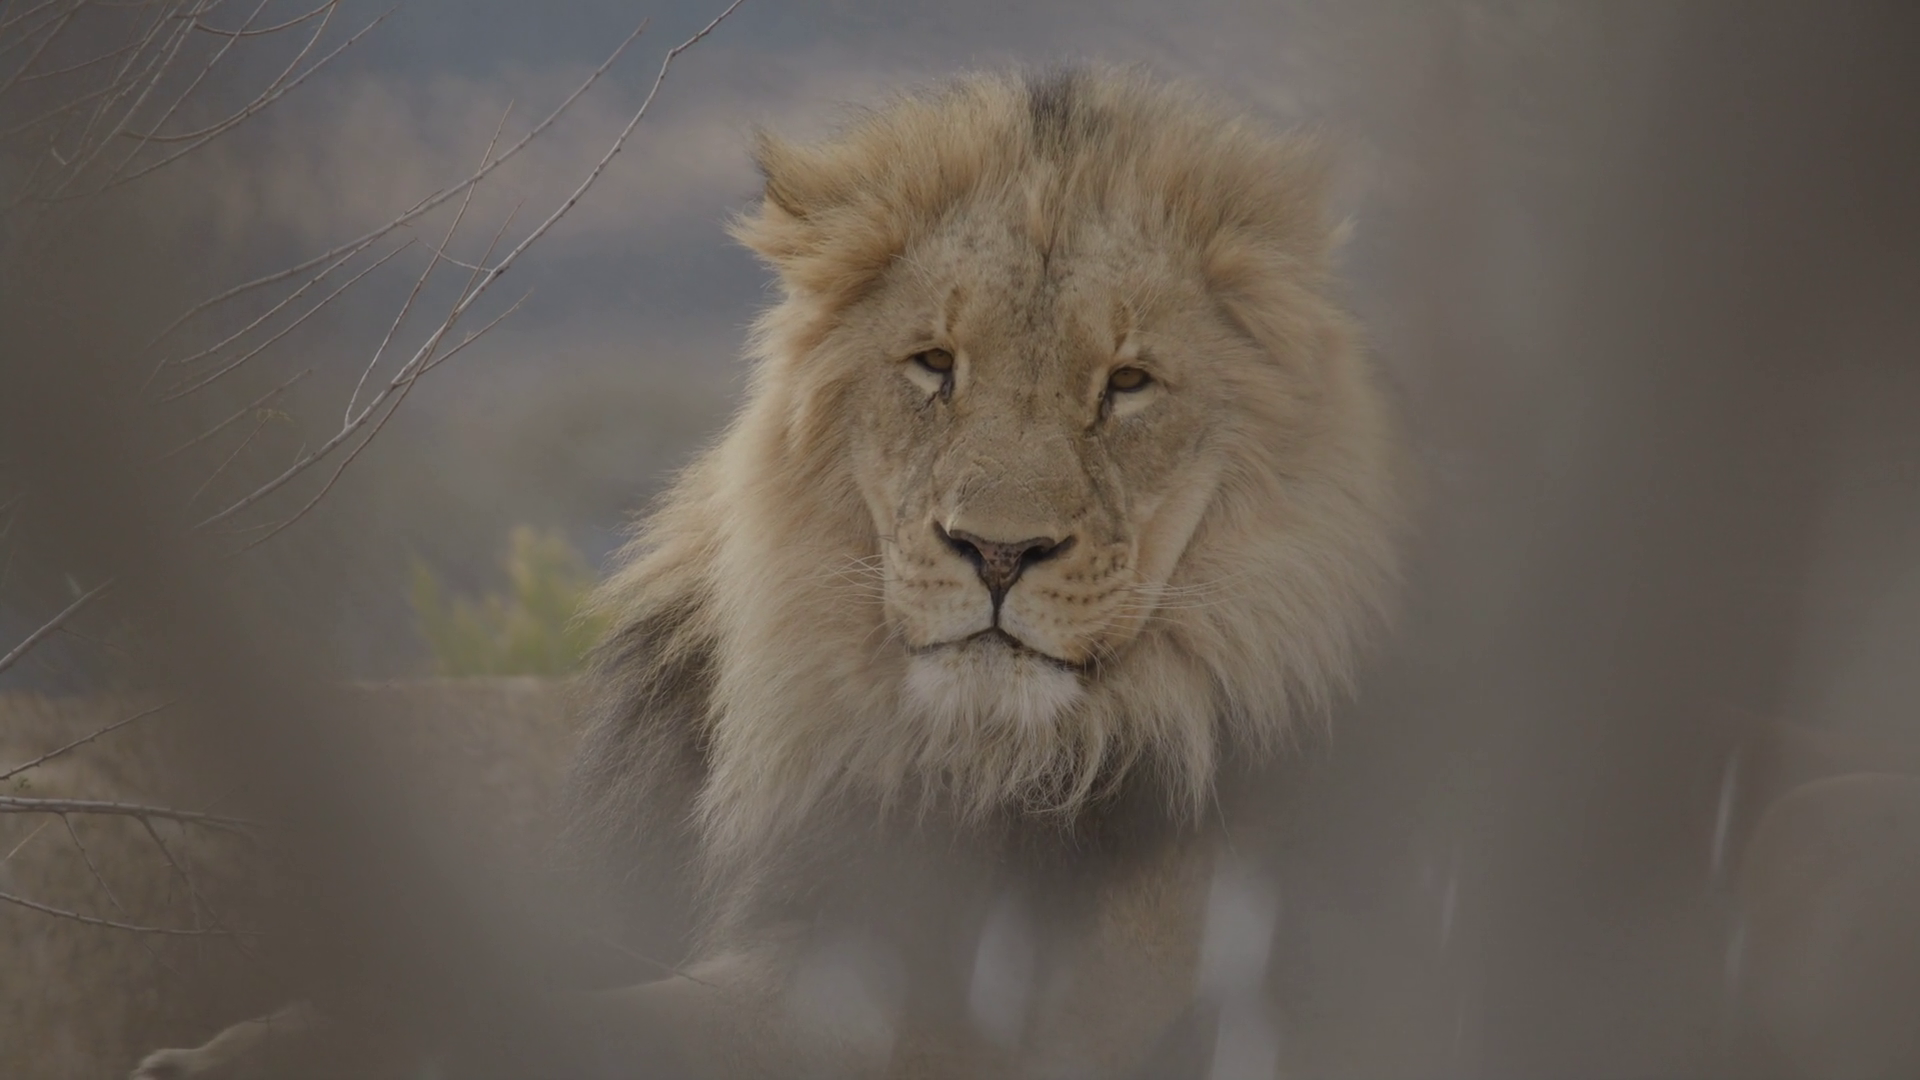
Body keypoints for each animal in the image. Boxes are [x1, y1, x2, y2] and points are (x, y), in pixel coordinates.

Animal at [135, 66, 1403, 1078]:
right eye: (934, 365)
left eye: (1129, 384)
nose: (999, 551)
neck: (935, 750)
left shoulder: (978, 1023)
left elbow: (602, 1024)